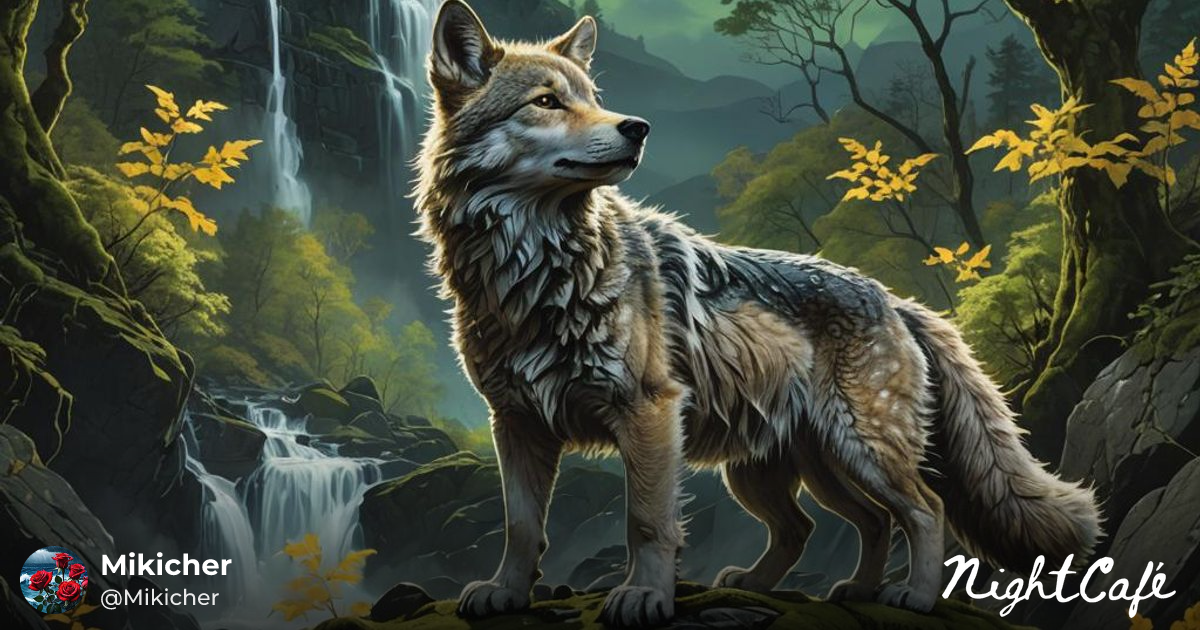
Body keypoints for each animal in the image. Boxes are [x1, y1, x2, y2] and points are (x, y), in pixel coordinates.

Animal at [414, 1, 1101, 626]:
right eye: (547, 101)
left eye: (593, 97)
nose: (637, 127)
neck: (531, 270)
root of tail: (897, 300)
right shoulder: (516, 423)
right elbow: (522, 526)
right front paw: (505, 592)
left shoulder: (649, 413)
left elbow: (648, 523)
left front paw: (644, 597)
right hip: (782, 472)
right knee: (833, 526)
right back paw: (811, 587)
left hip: (856, 450)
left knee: (924, 510)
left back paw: (914, 597)